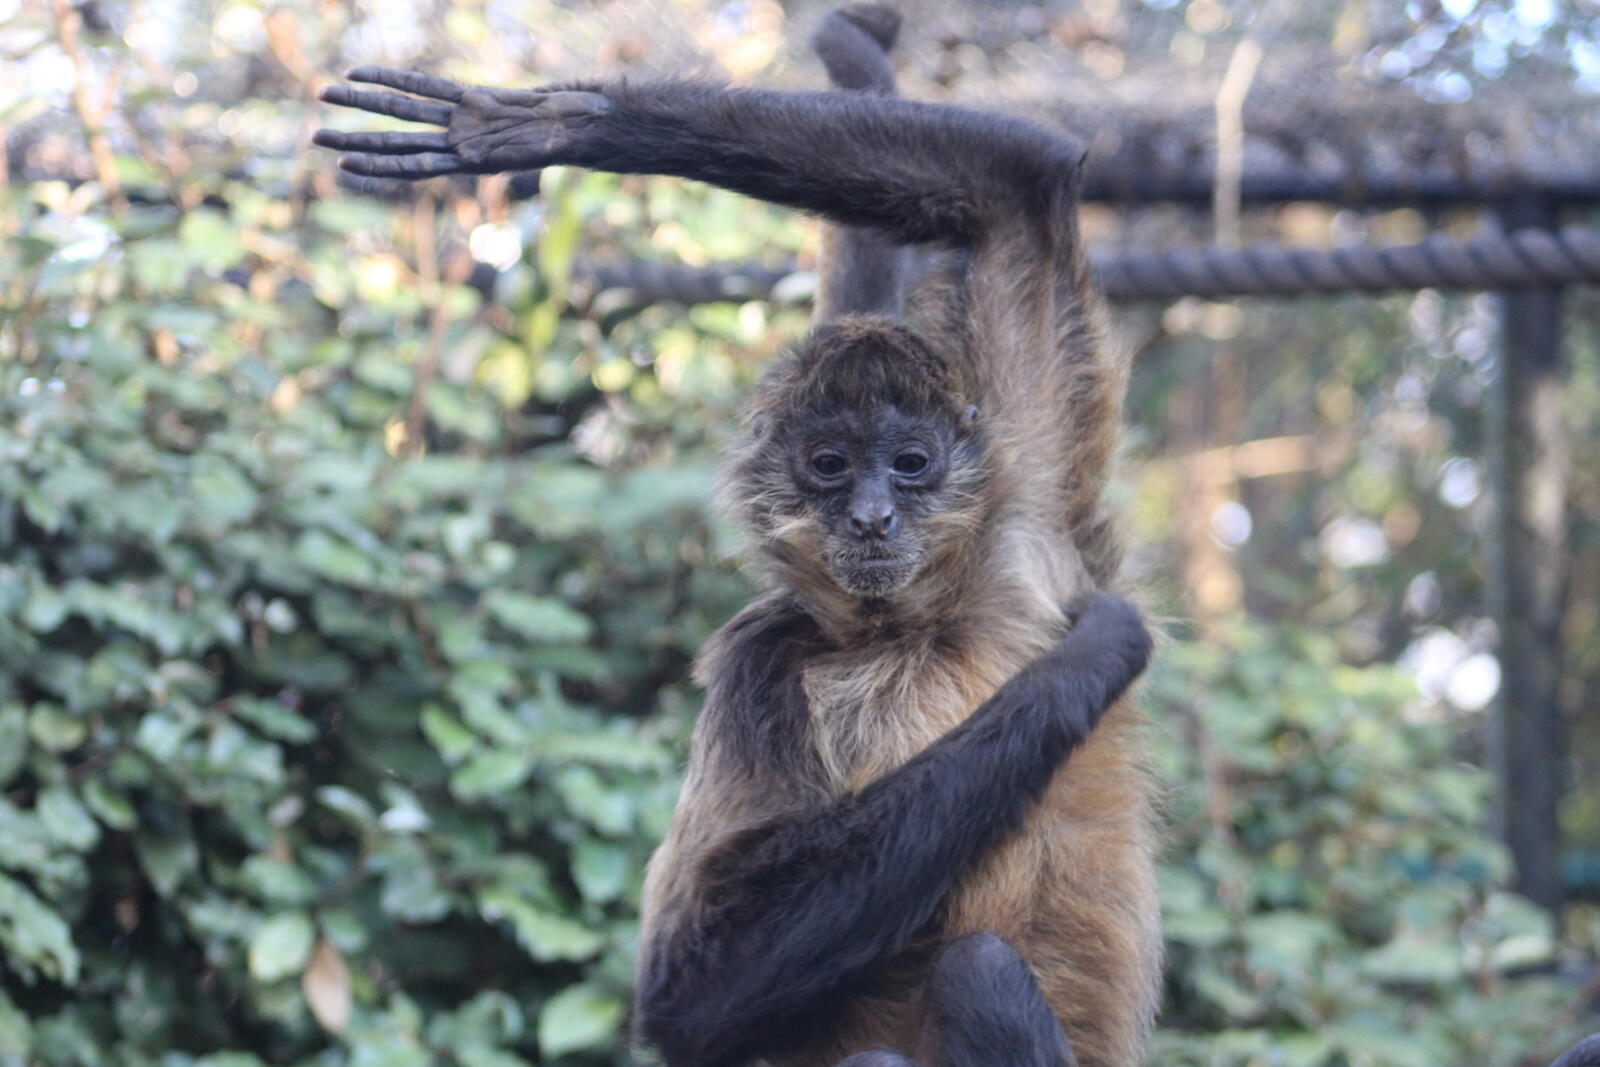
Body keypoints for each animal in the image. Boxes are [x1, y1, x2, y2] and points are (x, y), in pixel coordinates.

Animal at [313, 6, 1161, 1065]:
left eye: (910, 463)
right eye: (829, 466)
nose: (873, 516)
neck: (906, 627)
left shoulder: (1022, 516)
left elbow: (1016, 178)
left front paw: (559, 122)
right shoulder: (763, 659)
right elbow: (686, 991)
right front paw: (1088, 660)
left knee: (975, 966)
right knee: (959, 977)